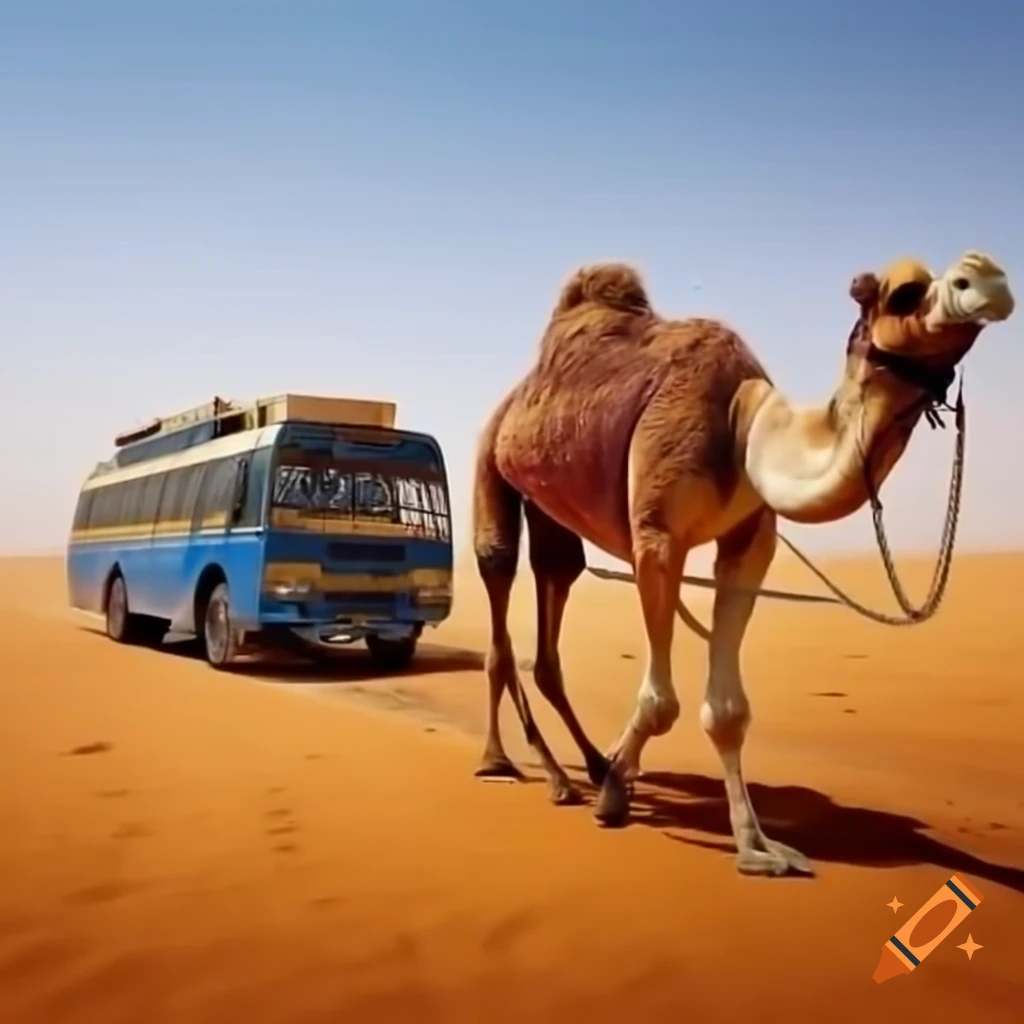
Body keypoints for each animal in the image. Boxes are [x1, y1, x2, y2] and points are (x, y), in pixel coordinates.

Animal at [471, 250, 1014, 876]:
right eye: (906, 292)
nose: (990, 279)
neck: (741, 422)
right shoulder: (657, 535)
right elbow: (663, 702)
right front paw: (613, 794)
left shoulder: (751, 541)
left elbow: (727, 710)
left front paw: (756, 846)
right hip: (491, 461)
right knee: (498, 593)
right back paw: (515, 767)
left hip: (551, 509)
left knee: (553, 588)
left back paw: (582, 765)